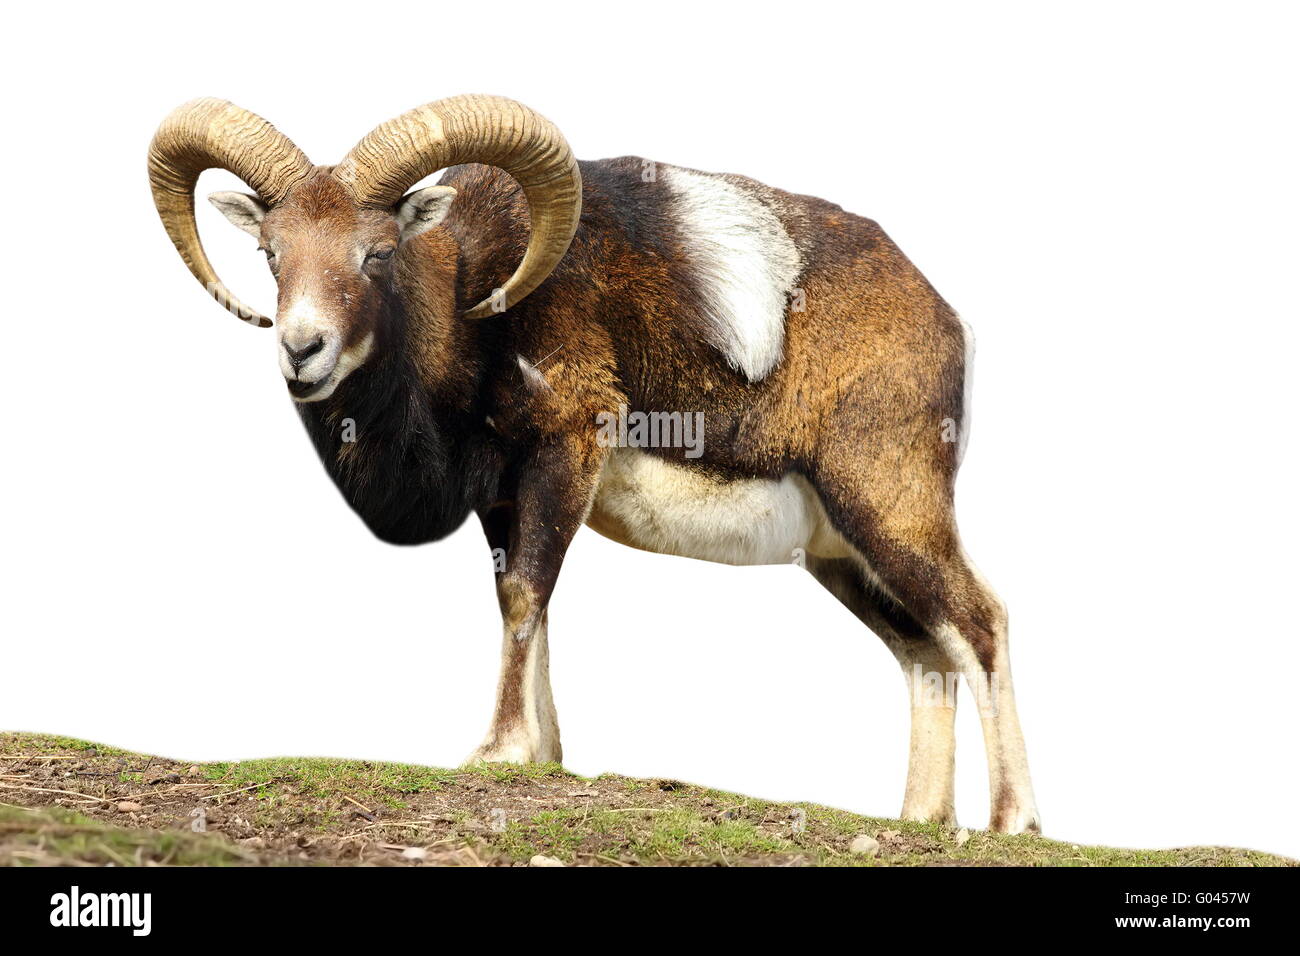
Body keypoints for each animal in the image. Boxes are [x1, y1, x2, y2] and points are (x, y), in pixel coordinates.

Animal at [149, 94, 1039, 833]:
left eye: (377, 253)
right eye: (271, 253)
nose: (302, 349)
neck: (479, 306)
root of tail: (946, 320)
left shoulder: (564, 455)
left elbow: (526, 594)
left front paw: (499, 753)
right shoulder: (503, 500)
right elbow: (522, 603)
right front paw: (543, 757)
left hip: (889, 513)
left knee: (980, 622)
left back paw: (1012, 822)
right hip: (843, 559)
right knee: (925, 653)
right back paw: (919, 821)